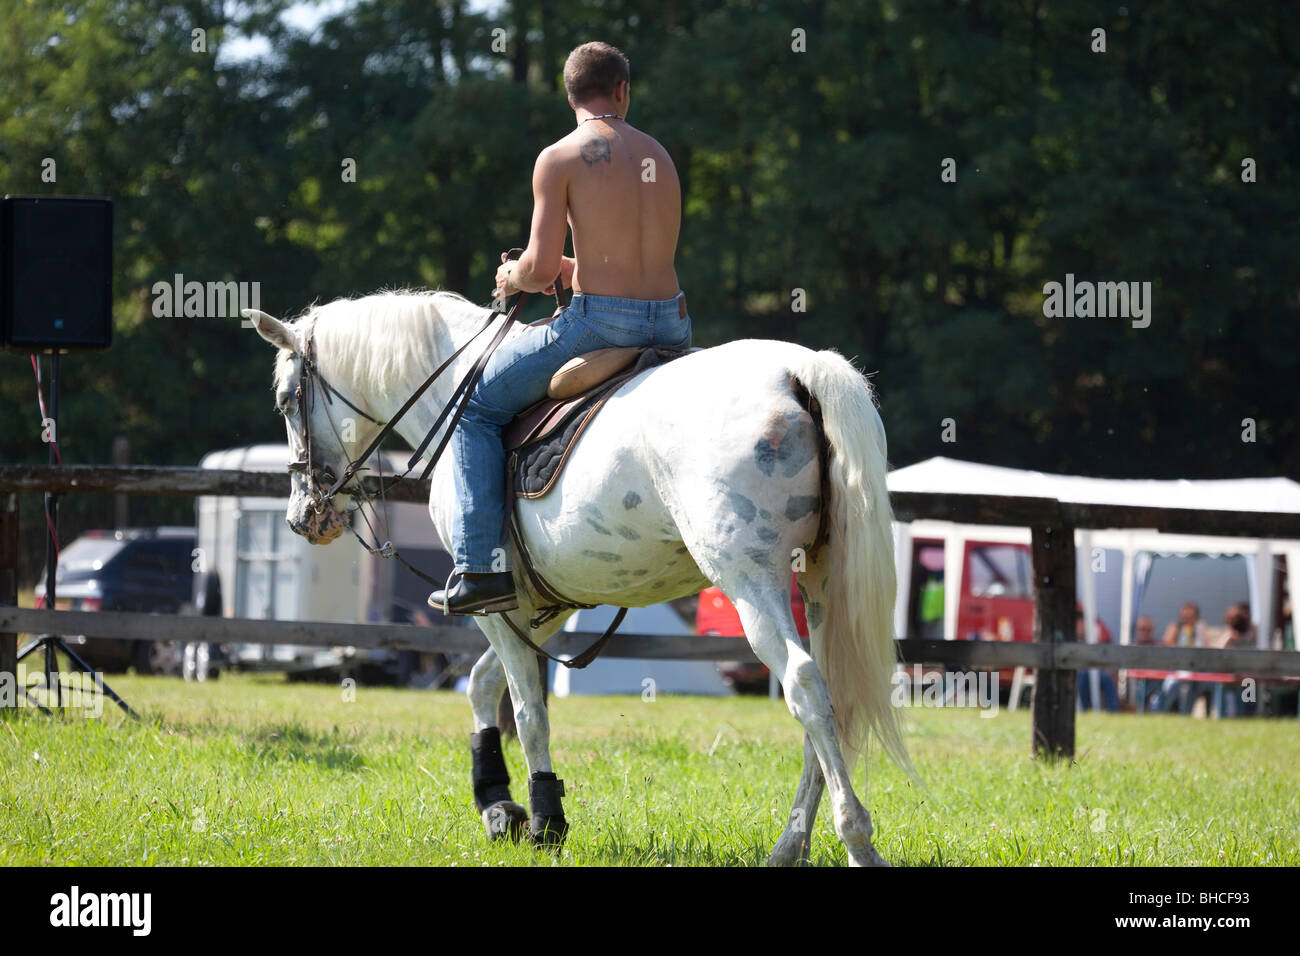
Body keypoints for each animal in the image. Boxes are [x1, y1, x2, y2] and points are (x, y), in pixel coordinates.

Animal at [246, 289, 911, 866]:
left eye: (284, 399)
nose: (304, 515)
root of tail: (798, 370)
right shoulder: (545, 604)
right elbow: (483, 687)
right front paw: (496, 804)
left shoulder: (490, 603)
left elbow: (527, 709)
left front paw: (544, 819)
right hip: (816, 588)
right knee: (826, 698)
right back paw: (790, 846)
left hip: (751, 582)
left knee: (804, 685)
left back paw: (857, 841)